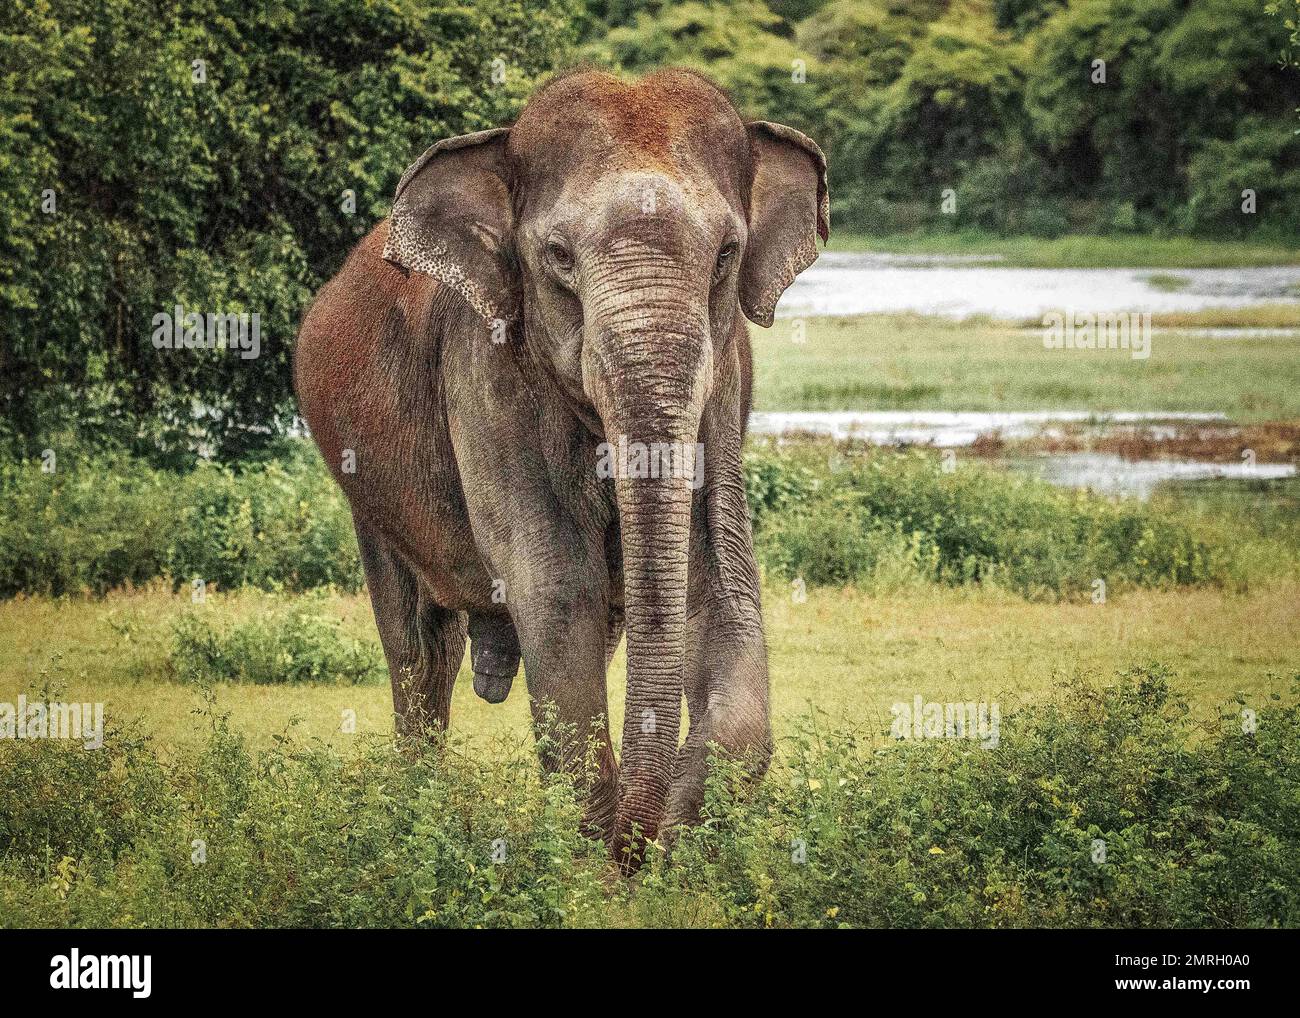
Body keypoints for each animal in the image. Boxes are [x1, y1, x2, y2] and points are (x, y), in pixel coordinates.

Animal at [294, 67, 829, 869]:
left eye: (727, 255)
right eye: (558, 257)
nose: (640, 846)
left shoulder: (726, 382)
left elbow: (722, 587)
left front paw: (670, 844)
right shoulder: (483, 366)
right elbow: (556, 583)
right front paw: (597, 863)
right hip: (365, 485)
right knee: (417, 646)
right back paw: (416, 811)